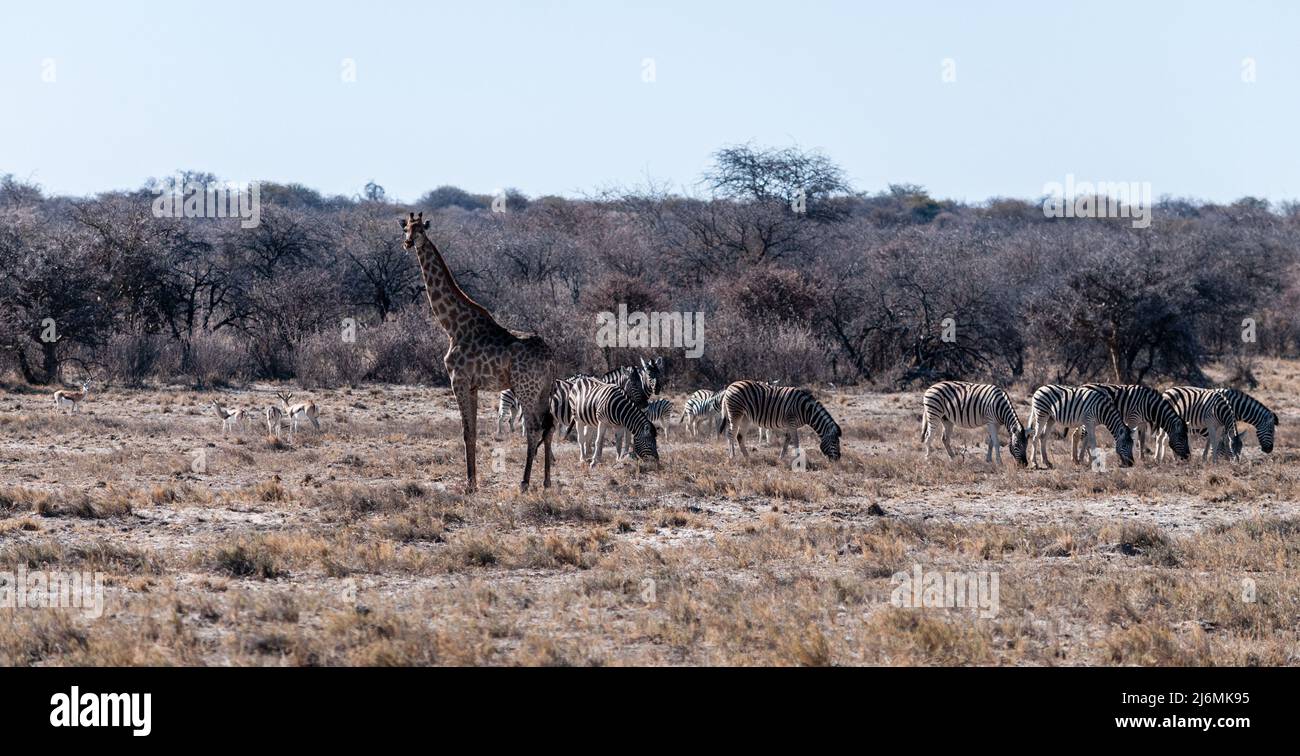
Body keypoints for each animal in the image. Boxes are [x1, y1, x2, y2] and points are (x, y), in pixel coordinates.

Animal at [401, 211, 559, 492]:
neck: (452, 325)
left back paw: (524, 482)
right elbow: (472, 431)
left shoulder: (459, 380)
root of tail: (551, 358)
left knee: (533, 428)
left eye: (420, 230)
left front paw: (470, 484)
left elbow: (466, 432)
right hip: (543, 390)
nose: (408, 243)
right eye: (405, 228)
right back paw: (546, 482)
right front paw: (472, 482)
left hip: (526, 388)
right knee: (548, 425)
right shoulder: (473, 385)